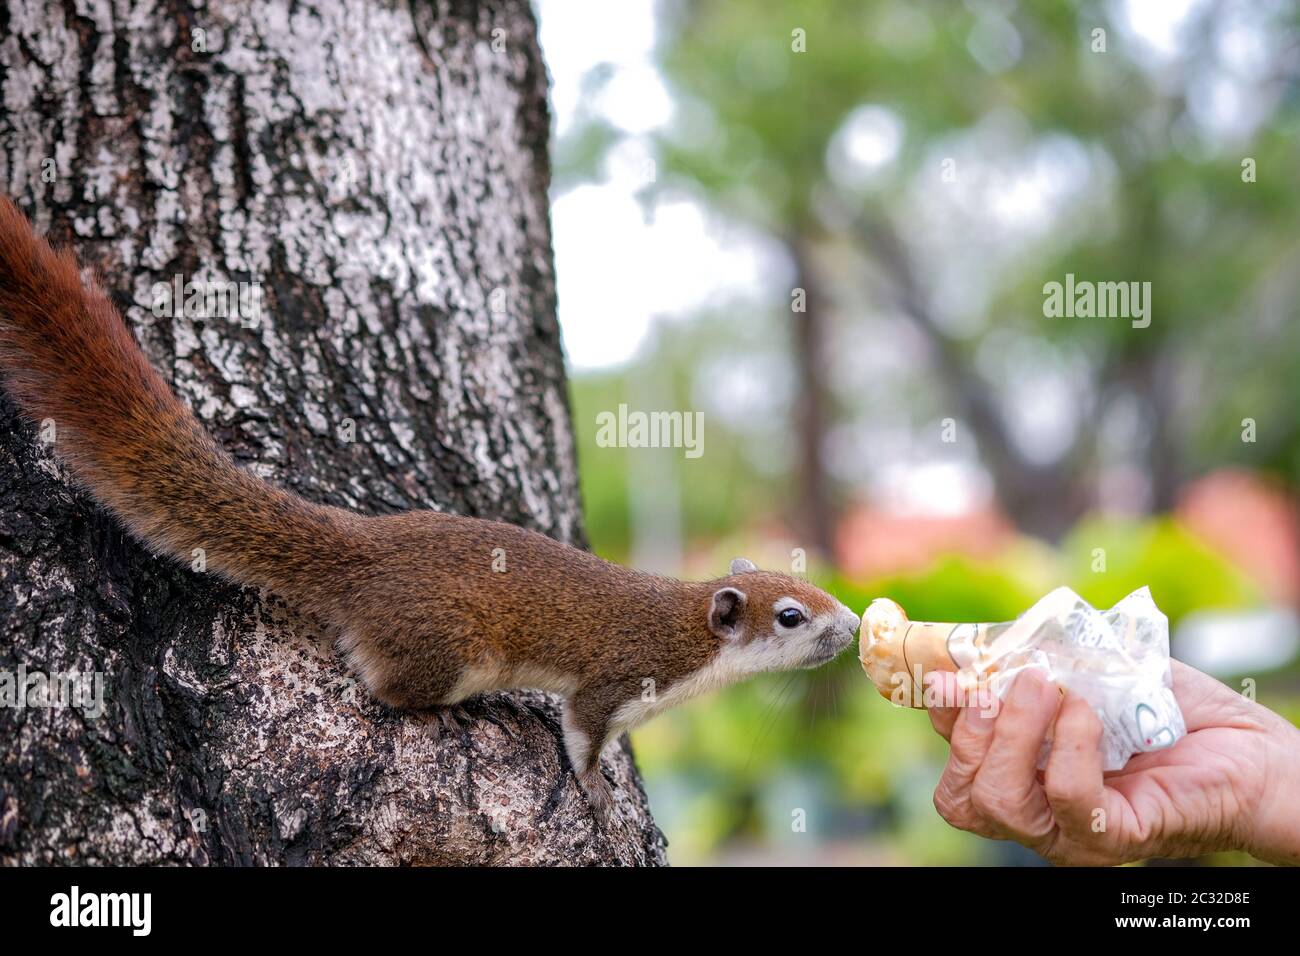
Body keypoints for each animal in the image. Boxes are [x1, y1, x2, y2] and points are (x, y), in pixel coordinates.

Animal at [0, 196, 860, 818]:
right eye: (791, 615)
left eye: (814, 588)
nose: (853, 627)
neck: (691, 645)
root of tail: (368, 549)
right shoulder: (613, 681)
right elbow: (582, 736)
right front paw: (595, 790)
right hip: (447, 646)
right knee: (387, 687)